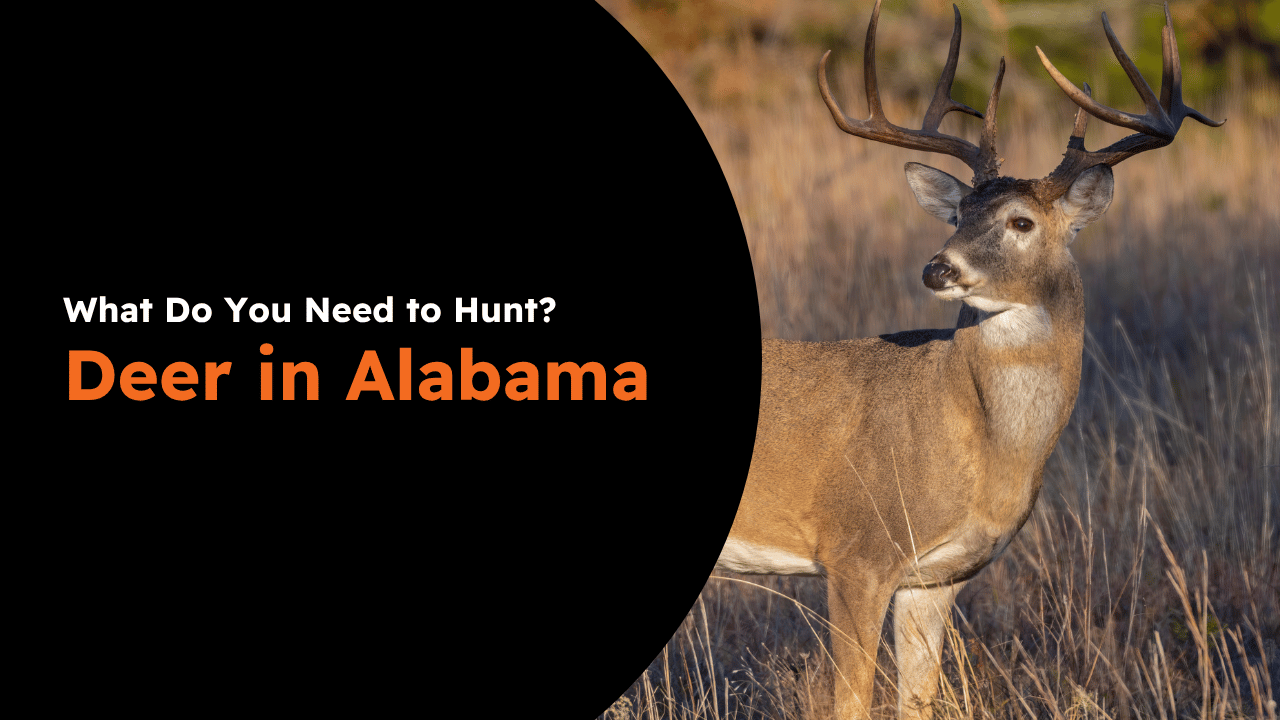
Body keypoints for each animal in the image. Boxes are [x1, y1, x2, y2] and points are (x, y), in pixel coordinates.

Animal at [714, 2, 1223, 718]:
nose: (938, 267)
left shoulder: (935, 578)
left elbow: (917, 700)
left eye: (1020, 222)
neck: (978, 439)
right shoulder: (856, 550)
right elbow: (851, 701)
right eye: (957, 213)